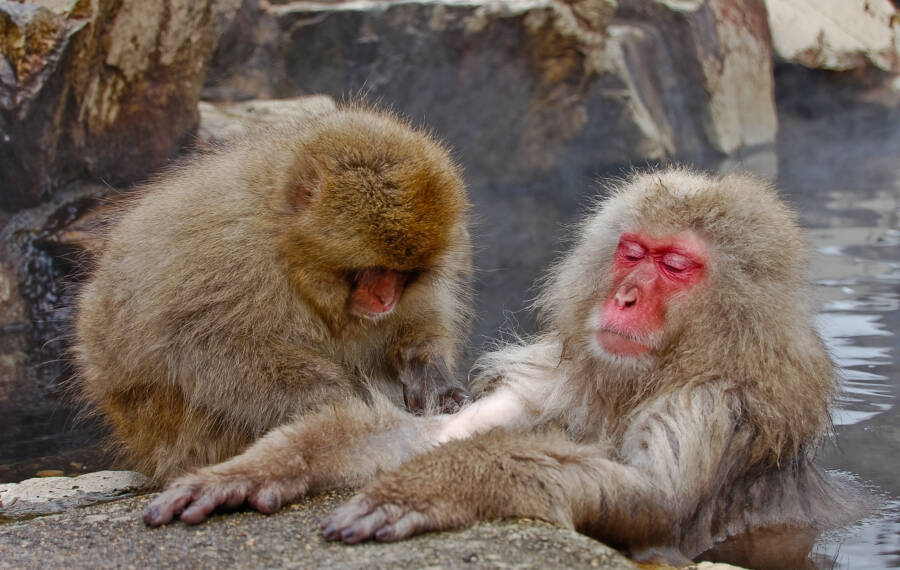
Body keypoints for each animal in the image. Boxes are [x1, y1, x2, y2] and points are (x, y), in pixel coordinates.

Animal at [73, 105, 473, 484]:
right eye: (372, 271)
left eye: (403, 275)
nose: (385, 299)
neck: (286, 248)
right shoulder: (230, 256)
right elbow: (206, 347)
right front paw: (341, 399)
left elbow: (417, 322)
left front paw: (429, 374)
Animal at [142, 168, 865, 565]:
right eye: (633, 252)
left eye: (676, 265)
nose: (625, 297)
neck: (639, 381)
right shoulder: (557, 378)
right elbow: (439, 432)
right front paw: (262, 465)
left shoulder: (716, 403)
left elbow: (658, 504)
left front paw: (440, 485)